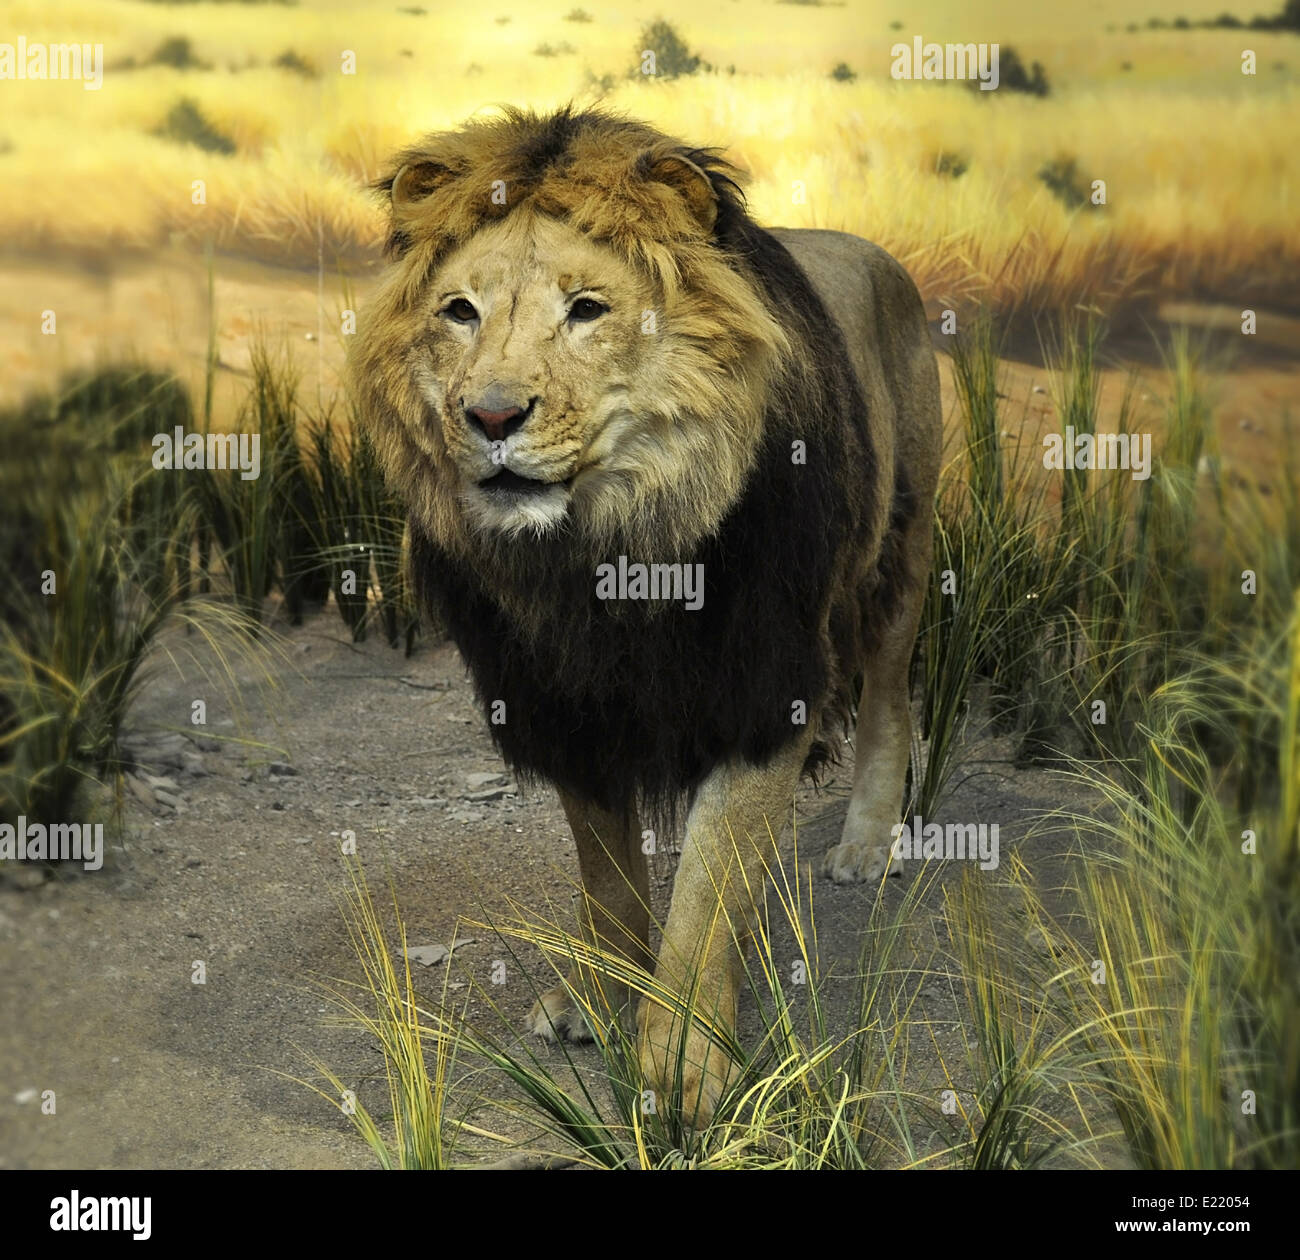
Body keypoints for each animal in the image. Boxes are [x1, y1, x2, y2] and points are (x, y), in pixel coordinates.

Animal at [351, 106, 941, 1124]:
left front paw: (686, 1070)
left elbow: (707, 898)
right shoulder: (567, 706)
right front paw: (600, 995)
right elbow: (609, 877)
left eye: (587, 309)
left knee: (890, 699)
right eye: (459, 312)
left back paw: (868, 842)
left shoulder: (761, 689)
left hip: (897, 559)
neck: (604, 559)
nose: (490, 416)